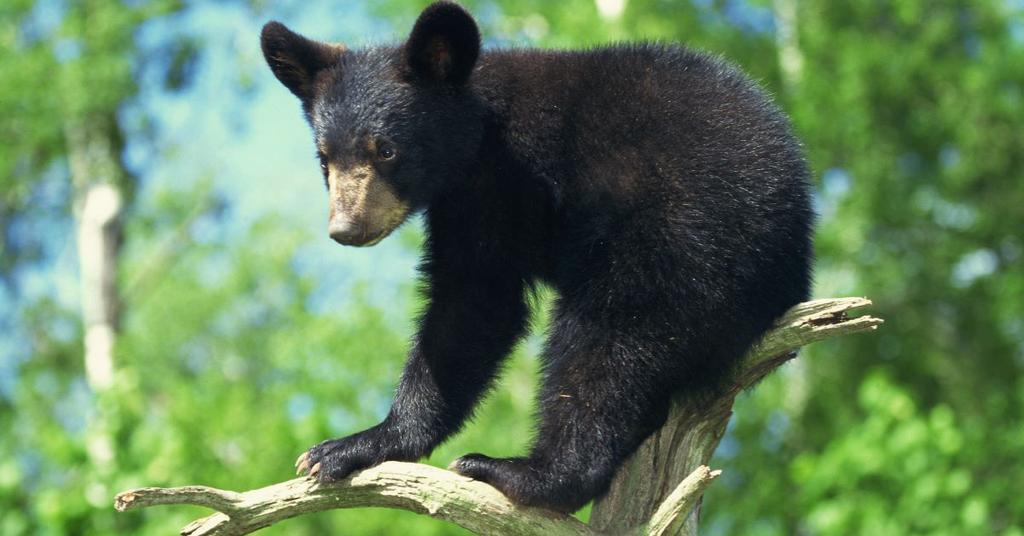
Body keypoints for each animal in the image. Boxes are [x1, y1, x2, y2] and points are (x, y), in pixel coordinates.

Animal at [260, 1, 813, 513]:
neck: (480, 131)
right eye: (324, 158)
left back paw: (524, 472)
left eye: (387, 150)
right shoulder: (469, 199)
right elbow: (473, 301)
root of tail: (793, 260)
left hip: (679, 243)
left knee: (607, 347)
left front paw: (349, 446)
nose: (346, 229)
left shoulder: (508, 179)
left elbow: (478, 303)